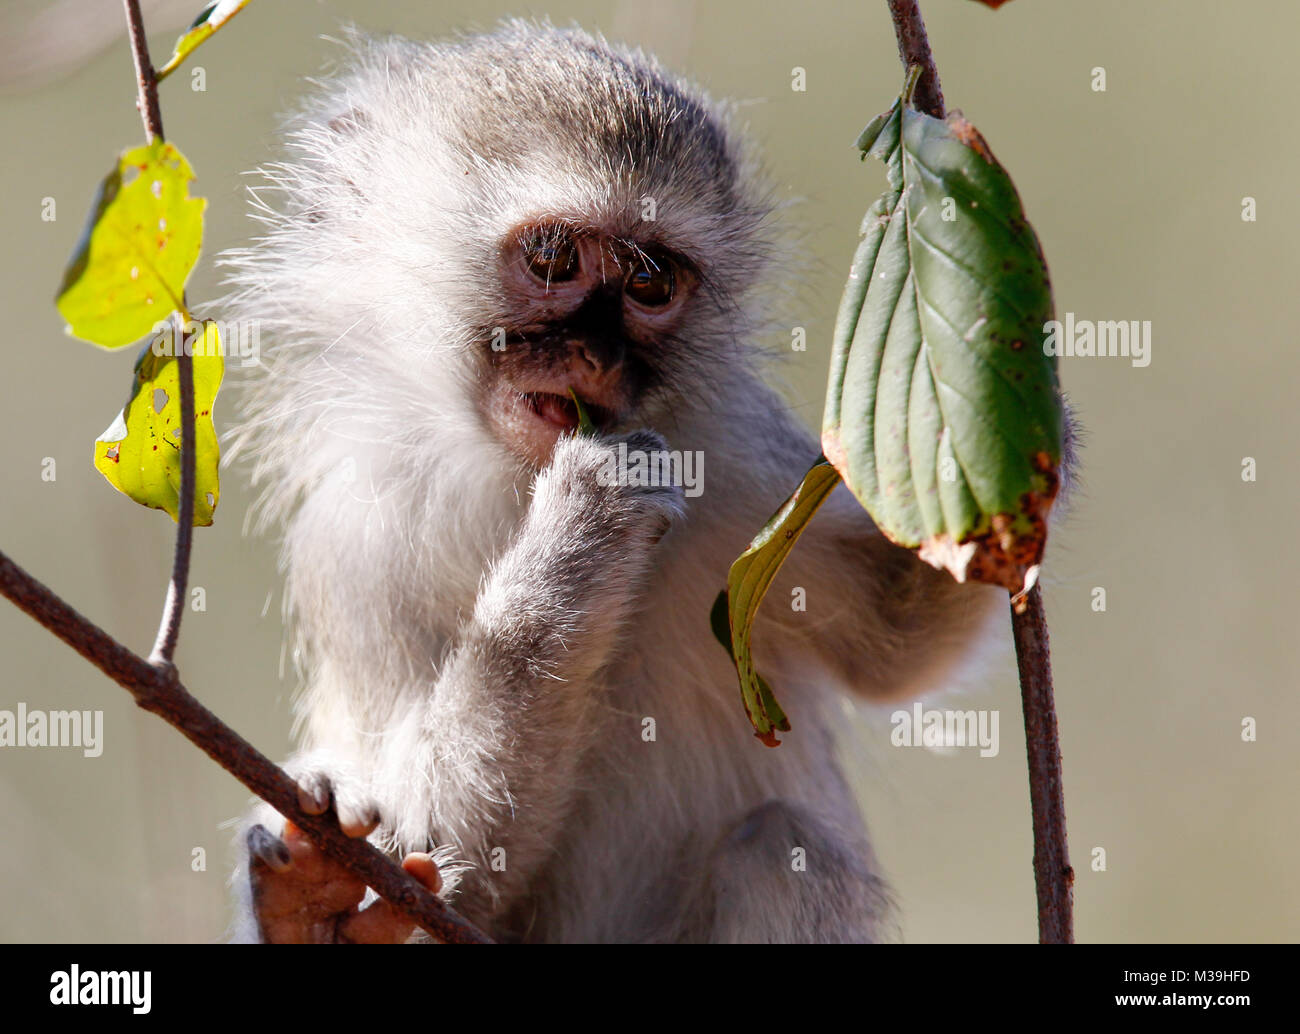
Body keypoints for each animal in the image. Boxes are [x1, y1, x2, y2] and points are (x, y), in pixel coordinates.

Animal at [220, 19, 1022, 944]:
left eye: (651, 283)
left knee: (784, 847)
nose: (598, 357)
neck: (516, 478)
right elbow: (441, 857)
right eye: (554, 259)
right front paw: (582, 529)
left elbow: (900, 641)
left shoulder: (746, 473)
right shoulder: (354, 545)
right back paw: (303, 902)